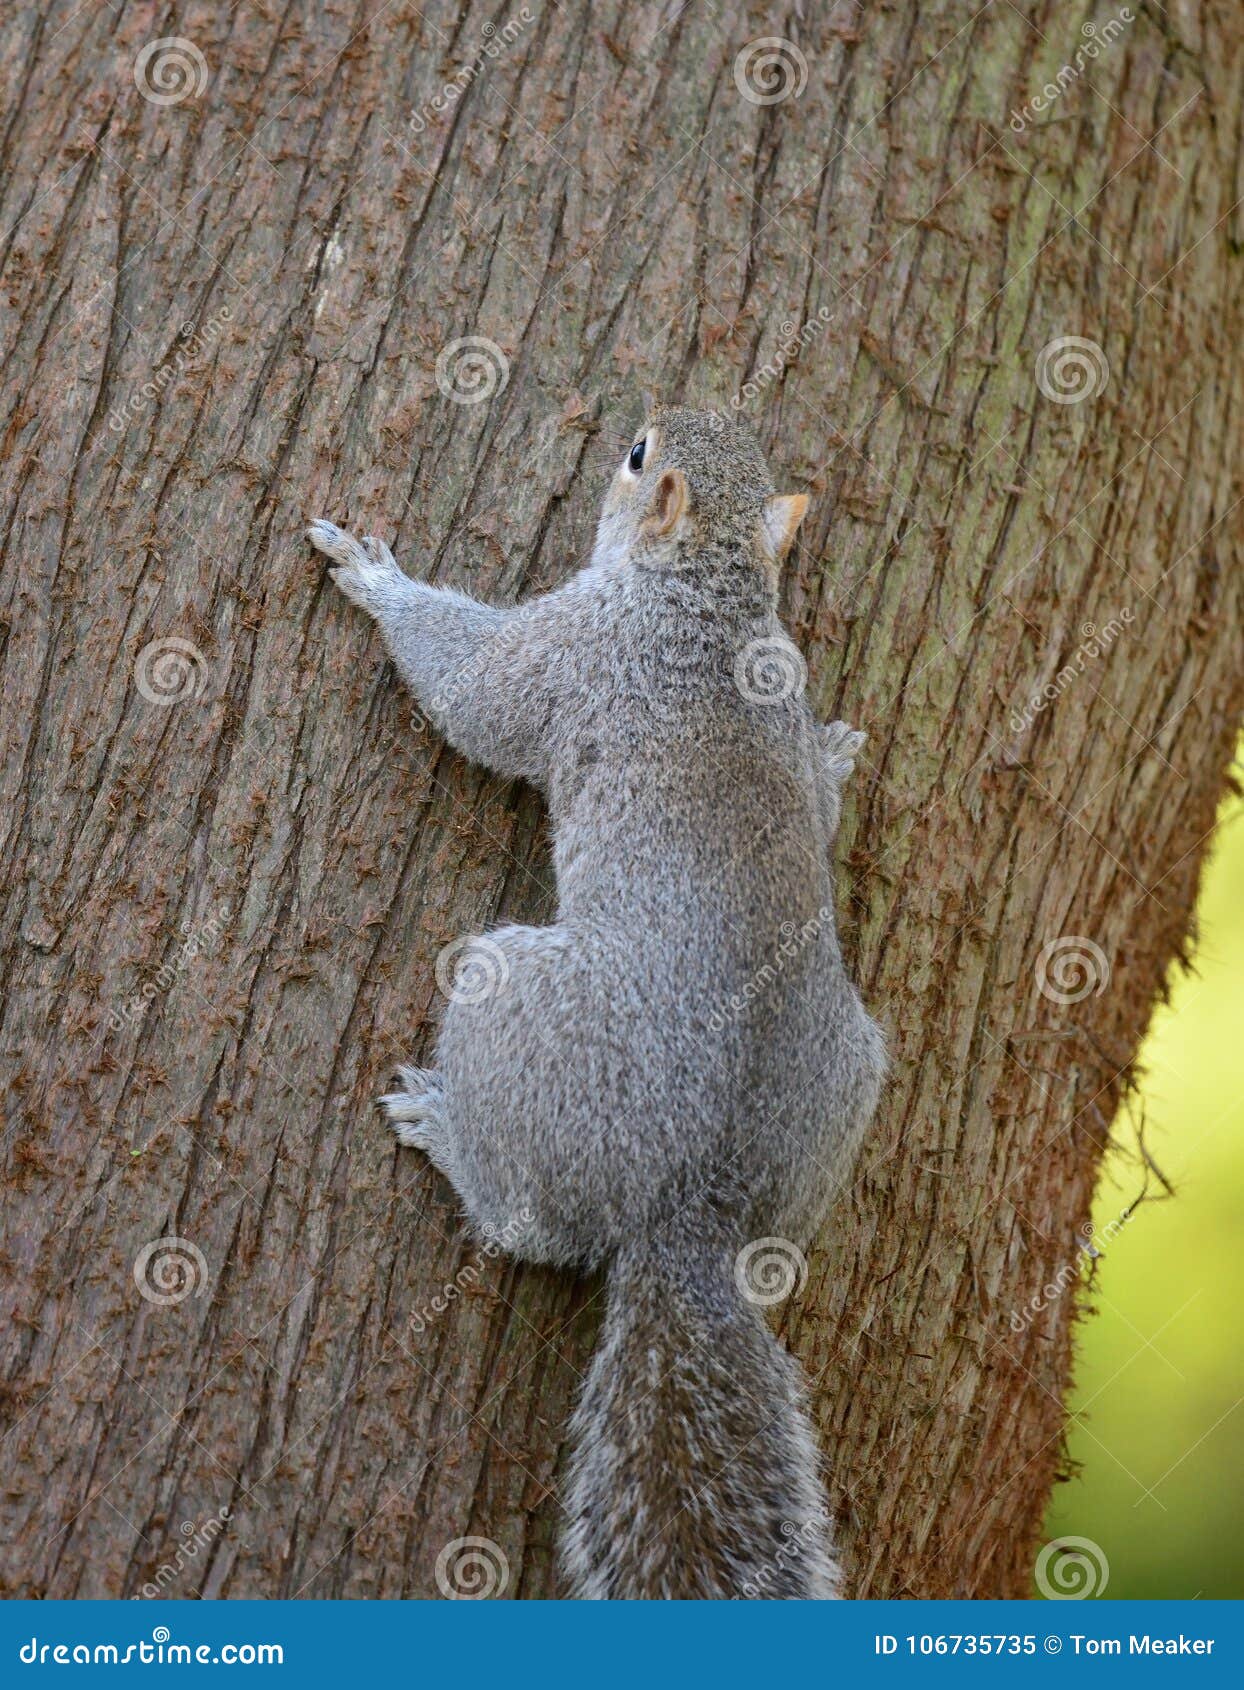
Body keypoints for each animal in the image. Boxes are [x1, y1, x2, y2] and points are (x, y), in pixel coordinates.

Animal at [308, 405, 886, 1600]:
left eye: (635, 456)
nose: (640, 415)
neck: (708, 589)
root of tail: (693, 1201)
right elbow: (813, 792)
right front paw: (831, 759)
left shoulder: (573, 646)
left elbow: (475, 689)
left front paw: (379, 578)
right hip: (852, 1078)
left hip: (517, 1009)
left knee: (524, 1225)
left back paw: (445, 1129)